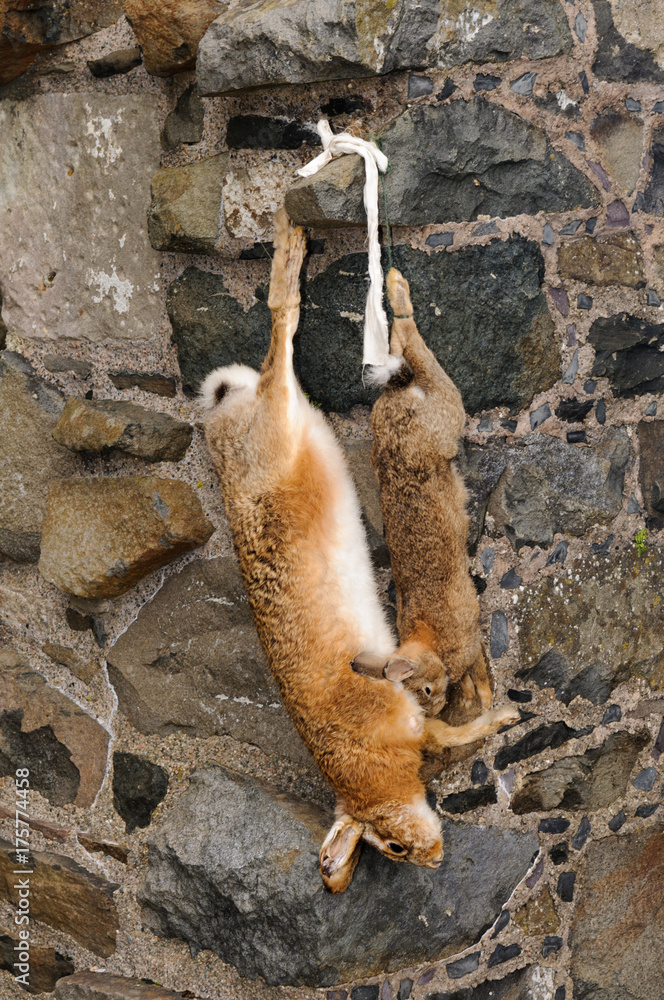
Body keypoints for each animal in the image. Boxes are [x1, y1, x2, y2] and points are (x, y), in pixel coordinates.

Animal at [352, 267, 493, 720]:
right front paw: (477, 699)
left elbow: (478, 667)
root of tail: (396, 395)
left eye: (426, 690)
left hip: (447, 412)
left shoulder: (468, 637)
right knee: (403, 345)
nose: (434, 708)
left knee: (416, 347)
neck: (428, 642)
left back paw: (398, 289)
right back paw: (395, 288)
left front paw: (485, 698)